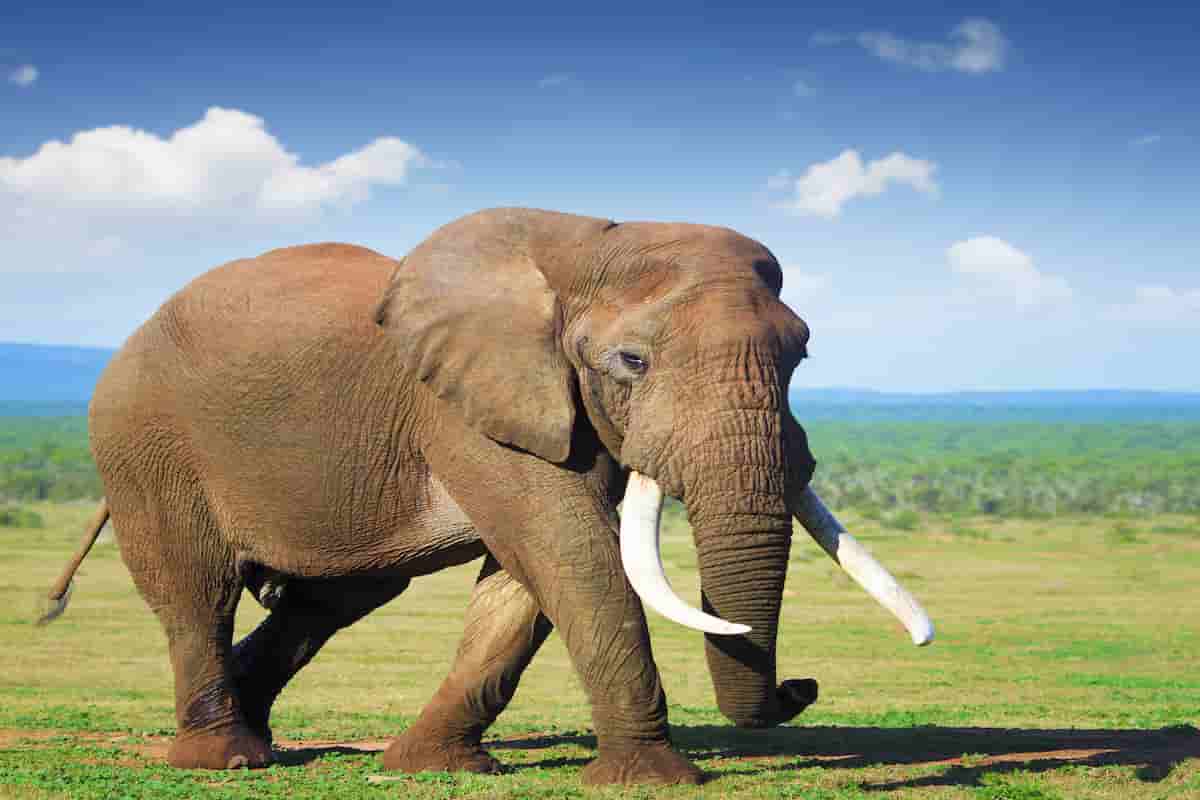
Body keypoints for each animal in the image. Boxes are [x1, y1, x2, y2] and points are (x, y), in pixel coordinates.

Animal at [40, 207, 932, 785]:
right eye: (633, 362)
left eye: (801, 356)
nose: (801, 688)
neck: (585, 241)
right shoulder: (468, 405)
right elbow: (569, 552)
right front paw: (654, 780)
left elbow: (525, 580)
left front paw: (433, 767)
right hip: (144, 443)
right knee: (199, 592)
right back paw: (222, 758)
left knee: (330, 601)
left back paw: (262, 738)